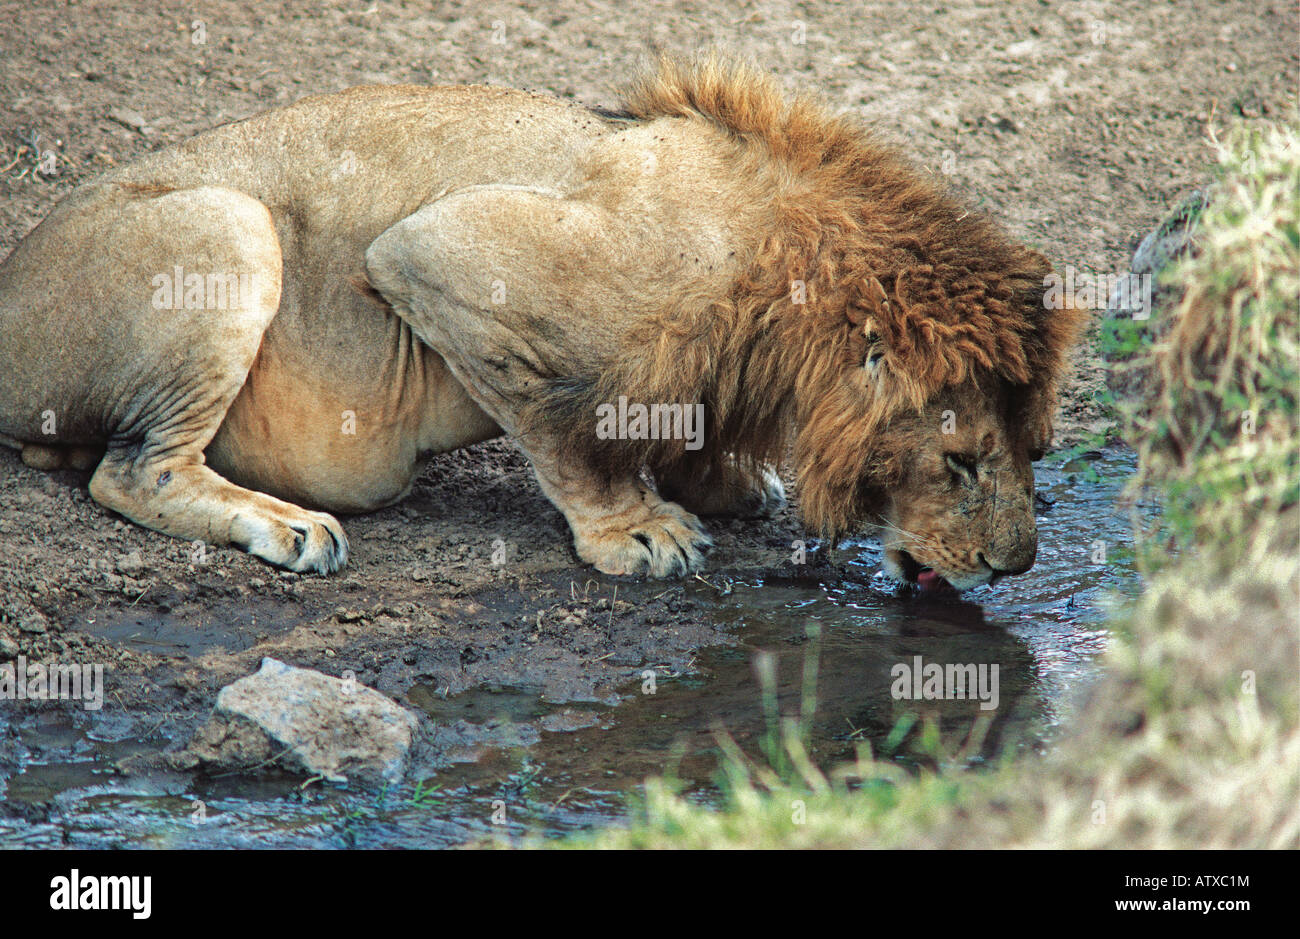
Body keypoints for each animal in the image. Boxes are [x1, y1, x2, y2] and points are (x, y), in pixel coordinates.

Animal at [0, 54, 1083, 589]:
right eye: (959, 463)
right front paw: (635, 530)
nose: (1014, 566)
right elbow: (569, 435)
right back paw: (288, 526)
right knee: (134, 470)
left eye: (1033, 451)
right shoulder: (439, 256)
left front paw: (723, 482)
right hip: (227, 223)